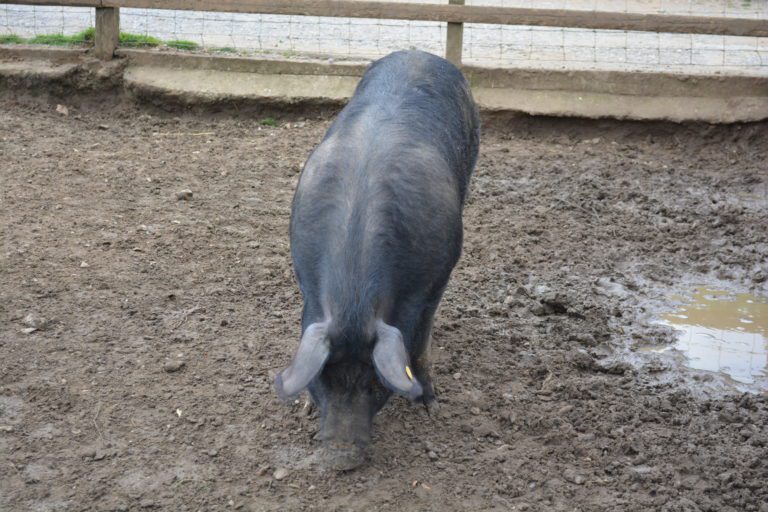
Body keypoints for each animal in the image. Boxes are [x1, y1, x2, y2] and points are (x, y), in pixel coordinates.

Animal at [275, 50, 480, 470]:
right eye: (323, 380)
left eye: (375, 382)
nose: (341, 456)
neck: (354, 301)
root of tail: (418, 52)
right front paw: (304, 408)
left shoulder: (437, 278)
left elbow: (419, 344)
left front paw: (430, 405)